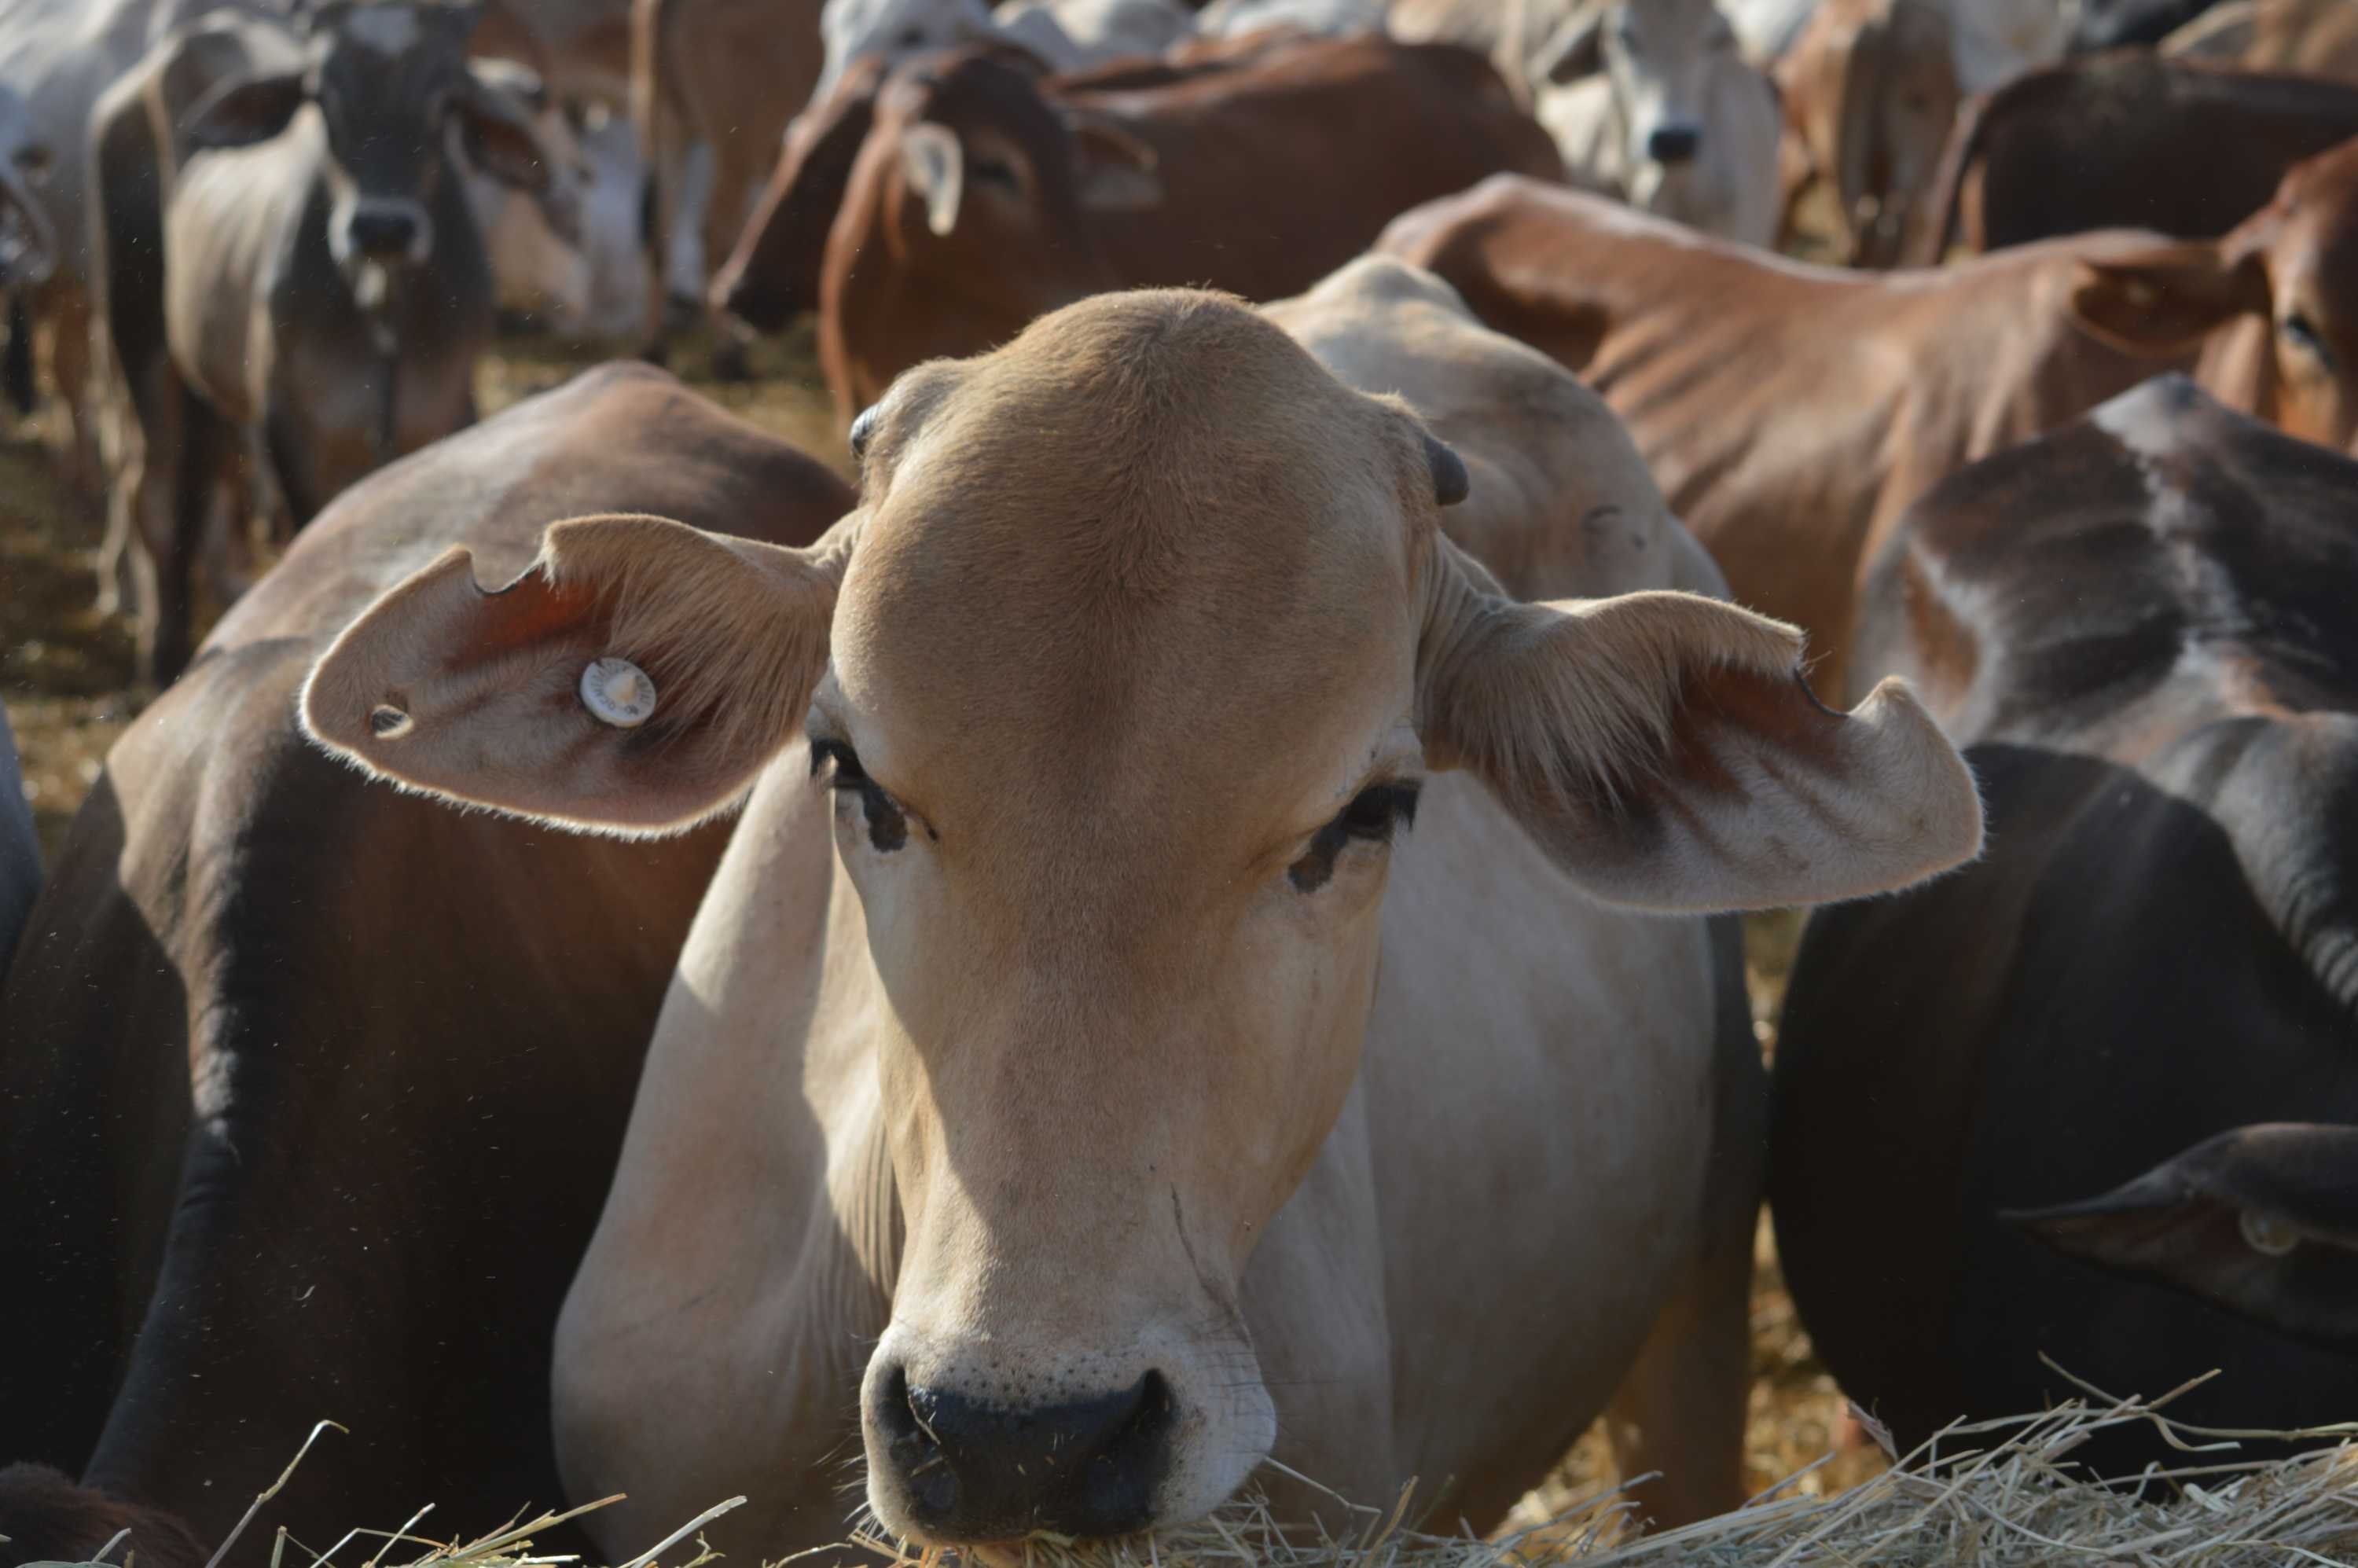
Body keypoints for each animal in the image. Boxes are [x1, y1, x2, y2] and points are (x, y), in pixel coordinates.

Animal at [89, 0, 561, 684]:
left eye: (443, 99)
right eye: (325, 96)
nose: (383, 227)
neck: (382, 305)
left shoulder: (446, 408)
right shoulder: (292, 422)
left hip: (207, 378)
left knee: (195, 486)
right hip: (140, 335)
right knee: (152, 483)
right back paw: (161, 653)